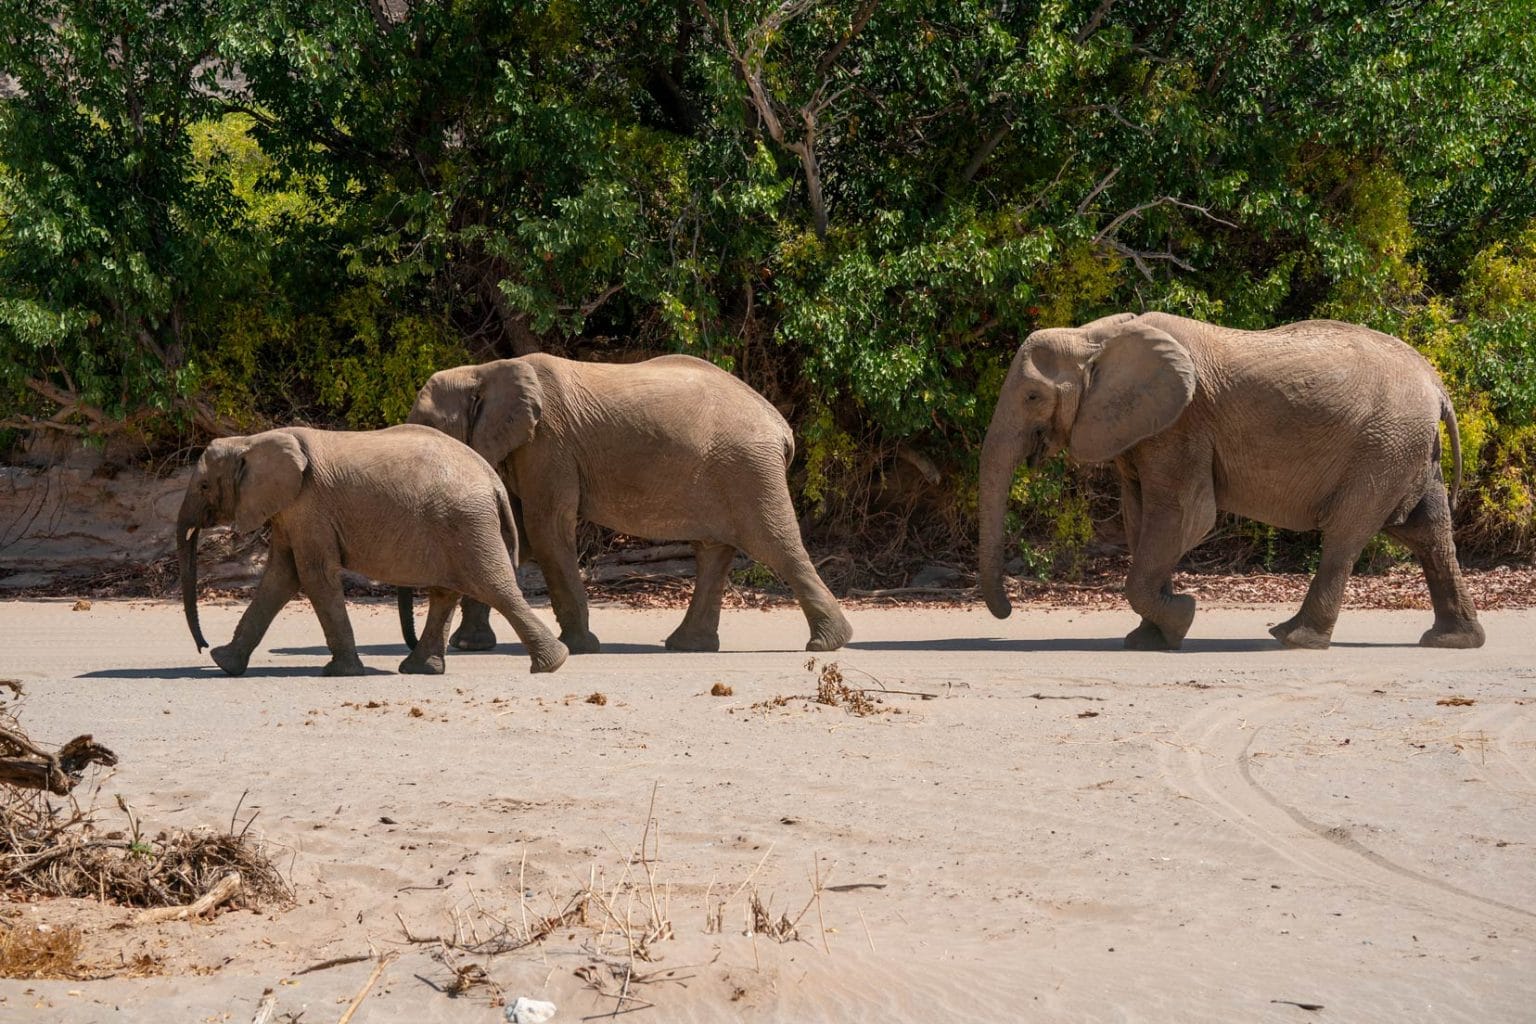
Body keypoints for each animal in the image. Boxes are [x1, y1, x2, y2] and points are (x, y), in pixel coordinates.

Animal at [177, 425, 568, 676]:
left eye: (204, 485)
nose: (201, 646)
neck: (251, 441)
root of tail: (492, 479)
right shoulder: (291, 511)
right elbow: (281, 577)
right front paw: (224, 662)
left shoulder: (309, 507)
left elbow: (313, 575)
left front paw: (341, 673)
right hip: (459, 524)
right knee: (448, 591)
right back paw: (420, 670)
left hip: (467, 522)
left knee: (494, 587)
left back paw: (552, 664)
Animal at [400, 353, 852, 654]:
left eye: (427, 426)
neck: (483, 370)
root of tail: (780, 424)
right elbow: (515, 534)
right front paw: (469, 645)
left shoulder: (548, 445)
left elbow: (548, 530)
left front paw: (581, 646)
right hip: (730, 468)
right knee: (714, 551)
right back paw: (687, 646)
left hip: (748, 468)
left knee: (775, 545)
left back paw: (826, 644)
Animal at [978, 312, 1485, 651]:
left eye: (1032, 396)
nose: (1007, 613)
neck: (1093, 335)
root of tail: (1436, 382)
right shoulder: (1143, 431)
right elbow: (1140, 518)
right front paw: (1148, 638)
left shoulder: (1181, 425)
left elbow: (1186, 516)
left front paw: (1181, 619)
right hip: (1405, 448)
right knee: (1426, 532)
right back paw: (1452, 641)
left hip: (1383, 447)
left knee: (1347, 534)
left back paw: (1293, 638)